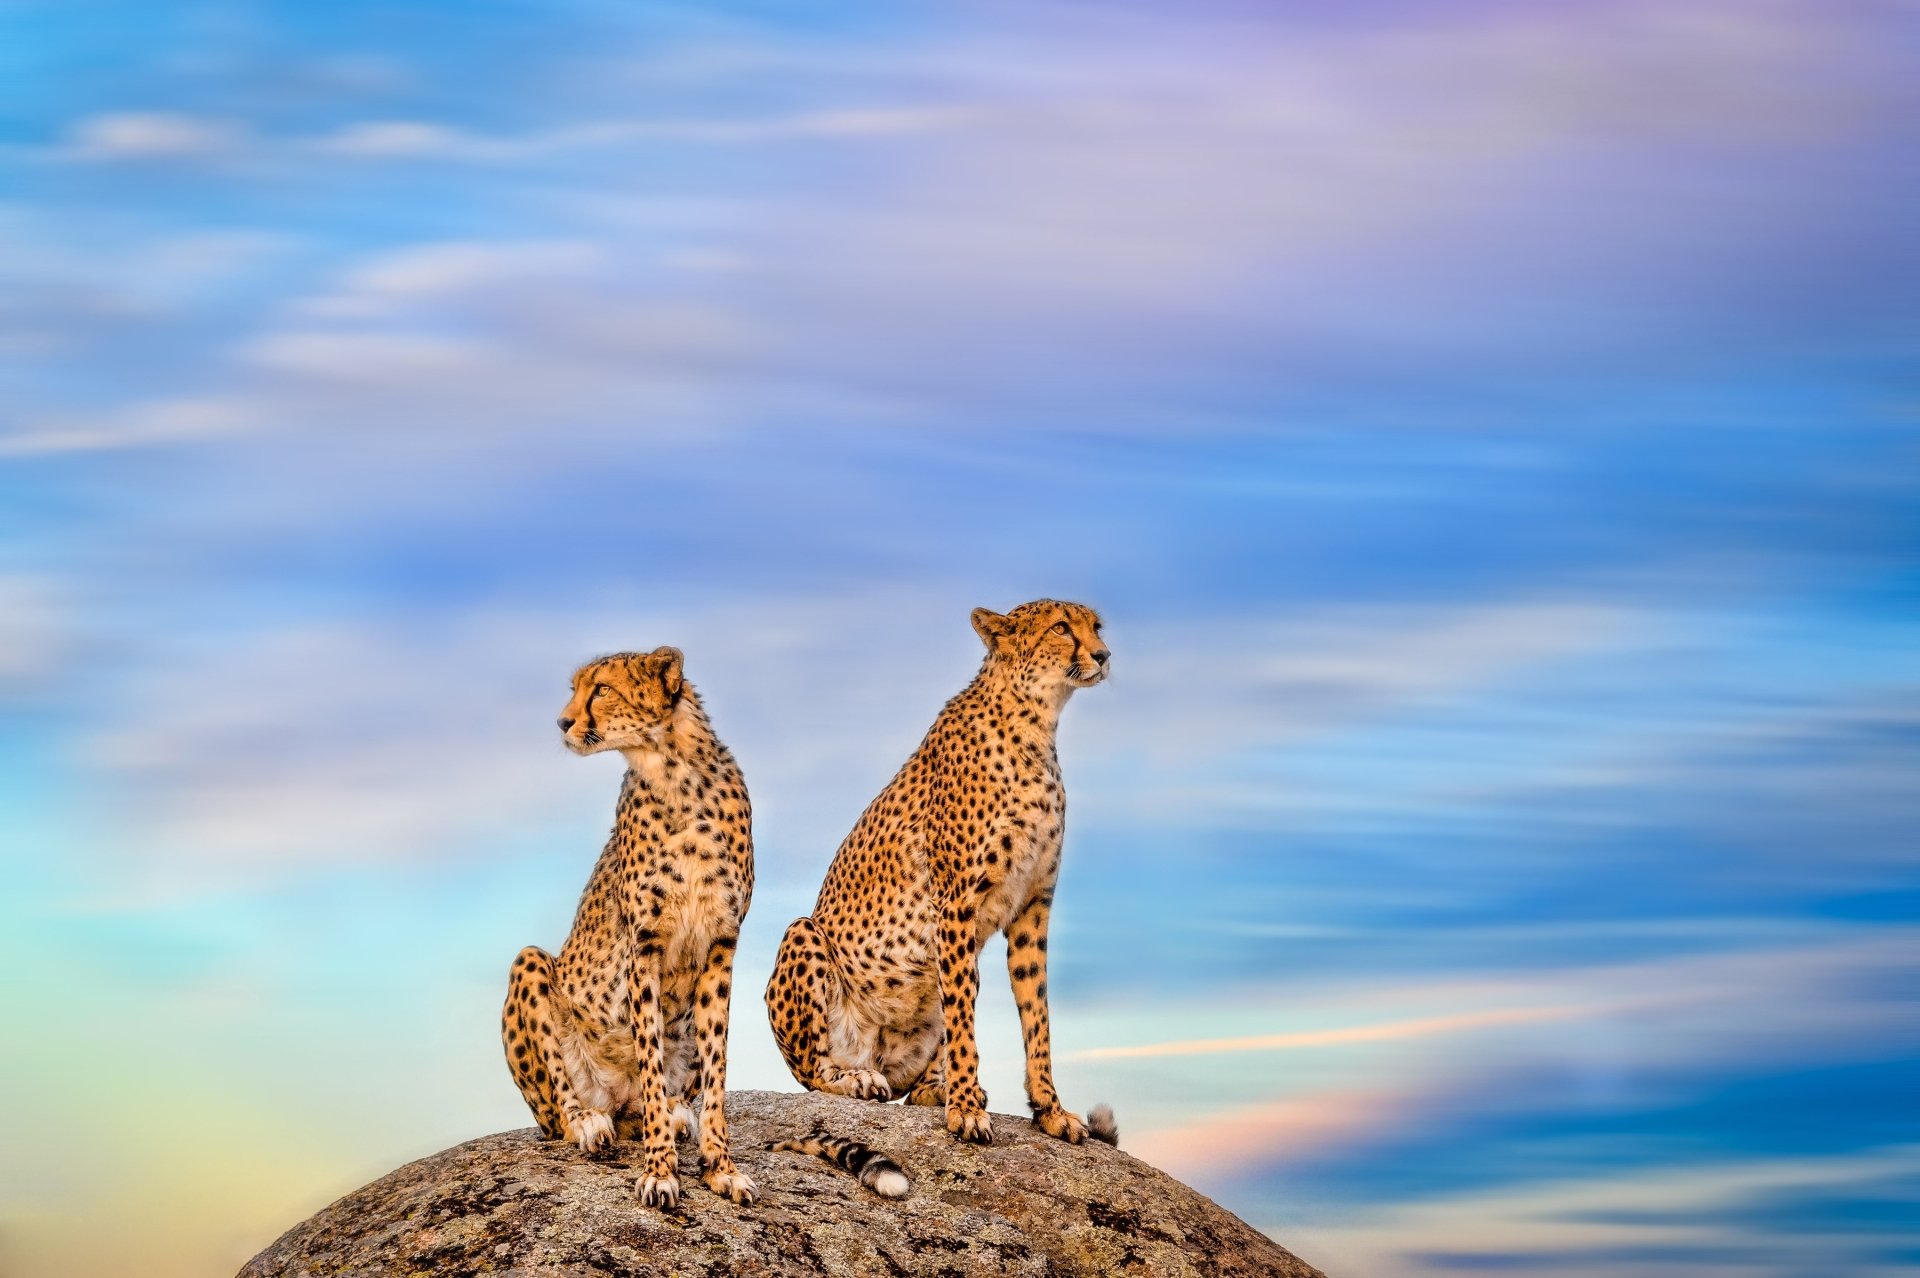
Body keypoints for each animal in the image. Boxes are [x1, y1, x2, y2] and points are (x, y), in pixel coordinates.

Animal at [502, 646, 757, 1209]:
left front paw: (721, 1167)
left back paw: (677, 1114)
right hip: (531, 964)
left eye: (601, 689)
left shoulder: (721, 946)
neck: (675, 775)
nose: (562, 722)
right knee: (560, 1112)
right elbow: (650, 1057)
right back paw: (589, 1121)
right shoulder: (644, 946)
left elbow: (716, 1069)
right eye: (576, 688)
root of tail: (615, 1101)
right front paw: (660, 1171)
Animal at [763, 598, 1117, 1180]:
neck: (1037, 722)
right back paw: (858, 1080)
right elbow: (966, 1013)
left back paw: (933, 1087)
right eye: (1062, 627)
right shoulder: (955, 905)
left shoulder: (1032, 908)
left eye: (1096, 626)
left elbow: (1037, 1014)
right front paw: (967, 1110)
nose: (1105, 655)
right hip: (804, 936)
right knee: (814, 1073)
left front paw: (1049, 1111)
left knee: (911, 1081)